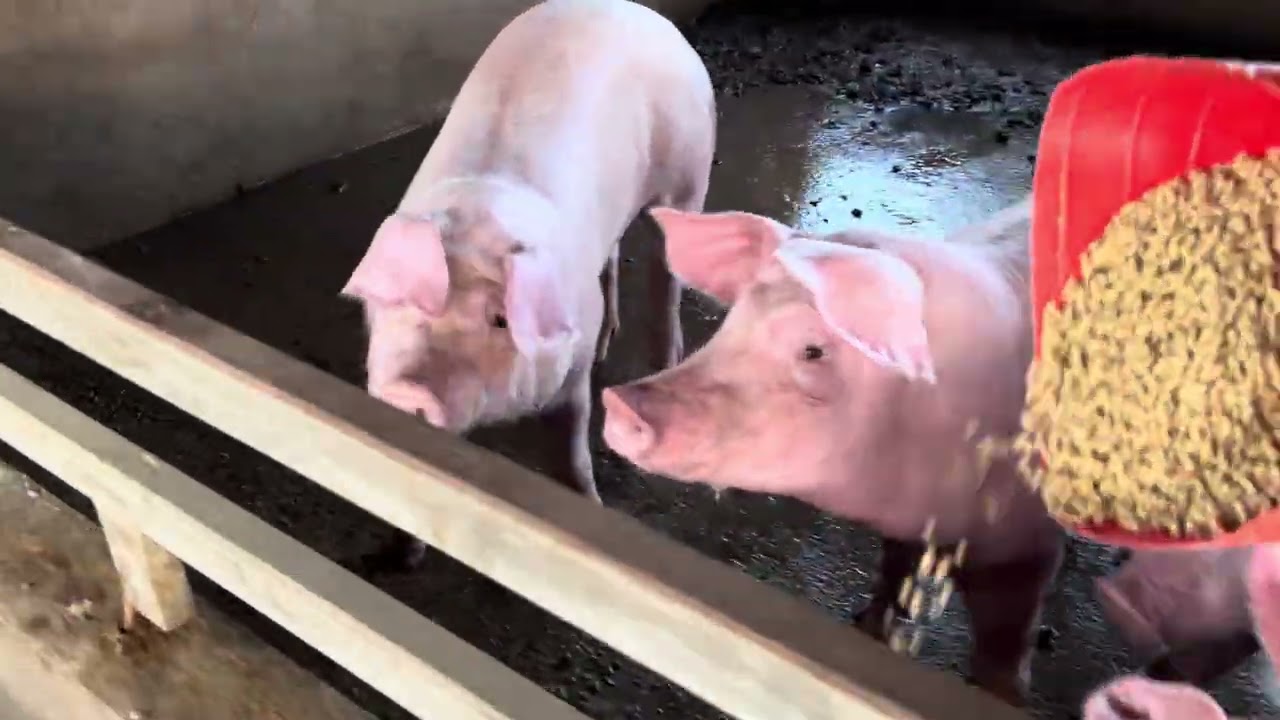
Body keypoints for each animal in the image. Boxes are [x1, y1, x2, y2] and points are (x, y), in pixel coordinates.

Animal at [338, 0, 716, 570]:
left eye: (500, 319)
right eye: (398, 303)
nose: (408, 387)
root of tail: (638, 12)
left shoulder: (570, 376)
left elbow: (572, 452)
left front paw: (592, 512)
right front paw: (404, 555)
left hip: (689, 171)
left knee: (667, 270)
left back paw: (663, 356)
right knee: (612, 256)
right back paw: (609, 341)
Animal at [600, 197, 1065, 704]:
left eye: (813, 350)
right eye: (735, 317)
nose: (617, 403)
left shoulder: (1029, 541)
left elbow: (1006, 636)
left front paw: (1003, 696)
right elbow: (893, 572)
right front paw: (867, 627)